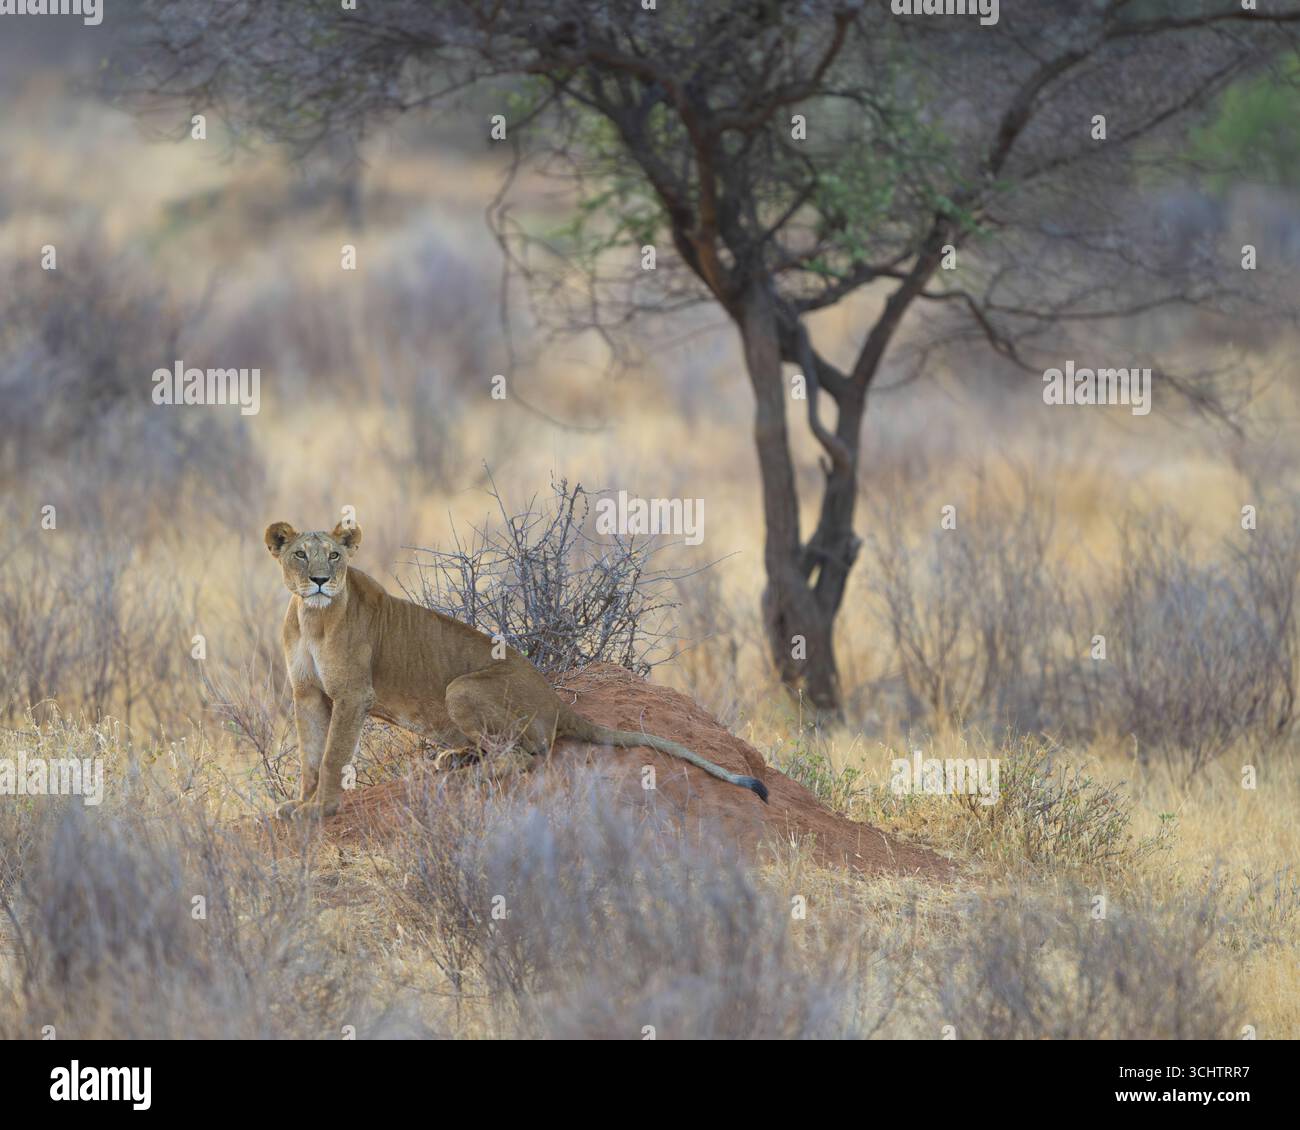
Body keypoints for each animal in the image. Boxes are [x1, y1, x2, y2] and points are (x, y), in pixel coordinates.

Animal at [265, 520, 769, 820]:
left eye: (334, 555)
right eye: (300, 555)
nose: (320, 581)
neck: (313, 617)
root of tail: (557, 700)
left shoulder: (353, 695)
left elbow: (332, 755)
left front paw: (321, 809)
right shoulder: (307, 694)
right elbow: (310, 756)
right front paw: (300, 802)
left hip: (462, 690)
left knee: (525, 757)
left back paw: (463, 774)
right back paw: (455, 759)